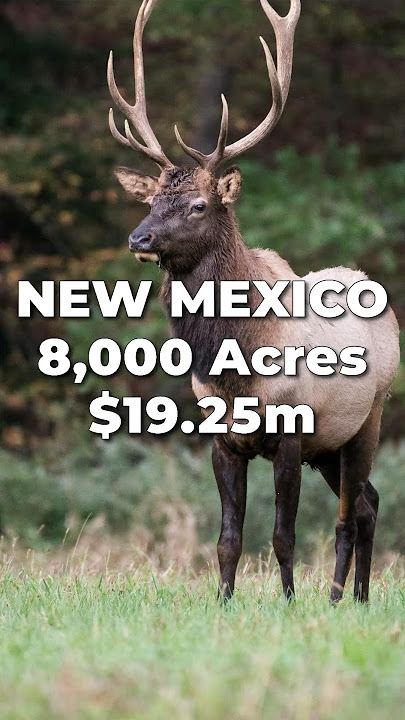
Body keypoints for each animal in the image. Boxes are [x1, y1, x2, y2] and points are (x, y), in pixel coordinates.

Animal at [107, 0, 400, 603]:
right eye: (151, 201)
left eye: (198, 204)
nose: (138, 239)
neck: (237, 366)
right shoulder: (223, 439)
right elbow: (227, 540)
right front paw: (223, 603)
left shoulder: (291, 433)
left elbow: (284, 535)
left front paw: (287, 603)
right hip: (329, 447)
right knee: (368, 501)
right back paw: (353, 596)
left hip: (370, 417)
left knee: (353, 512)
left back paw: (343, 597)